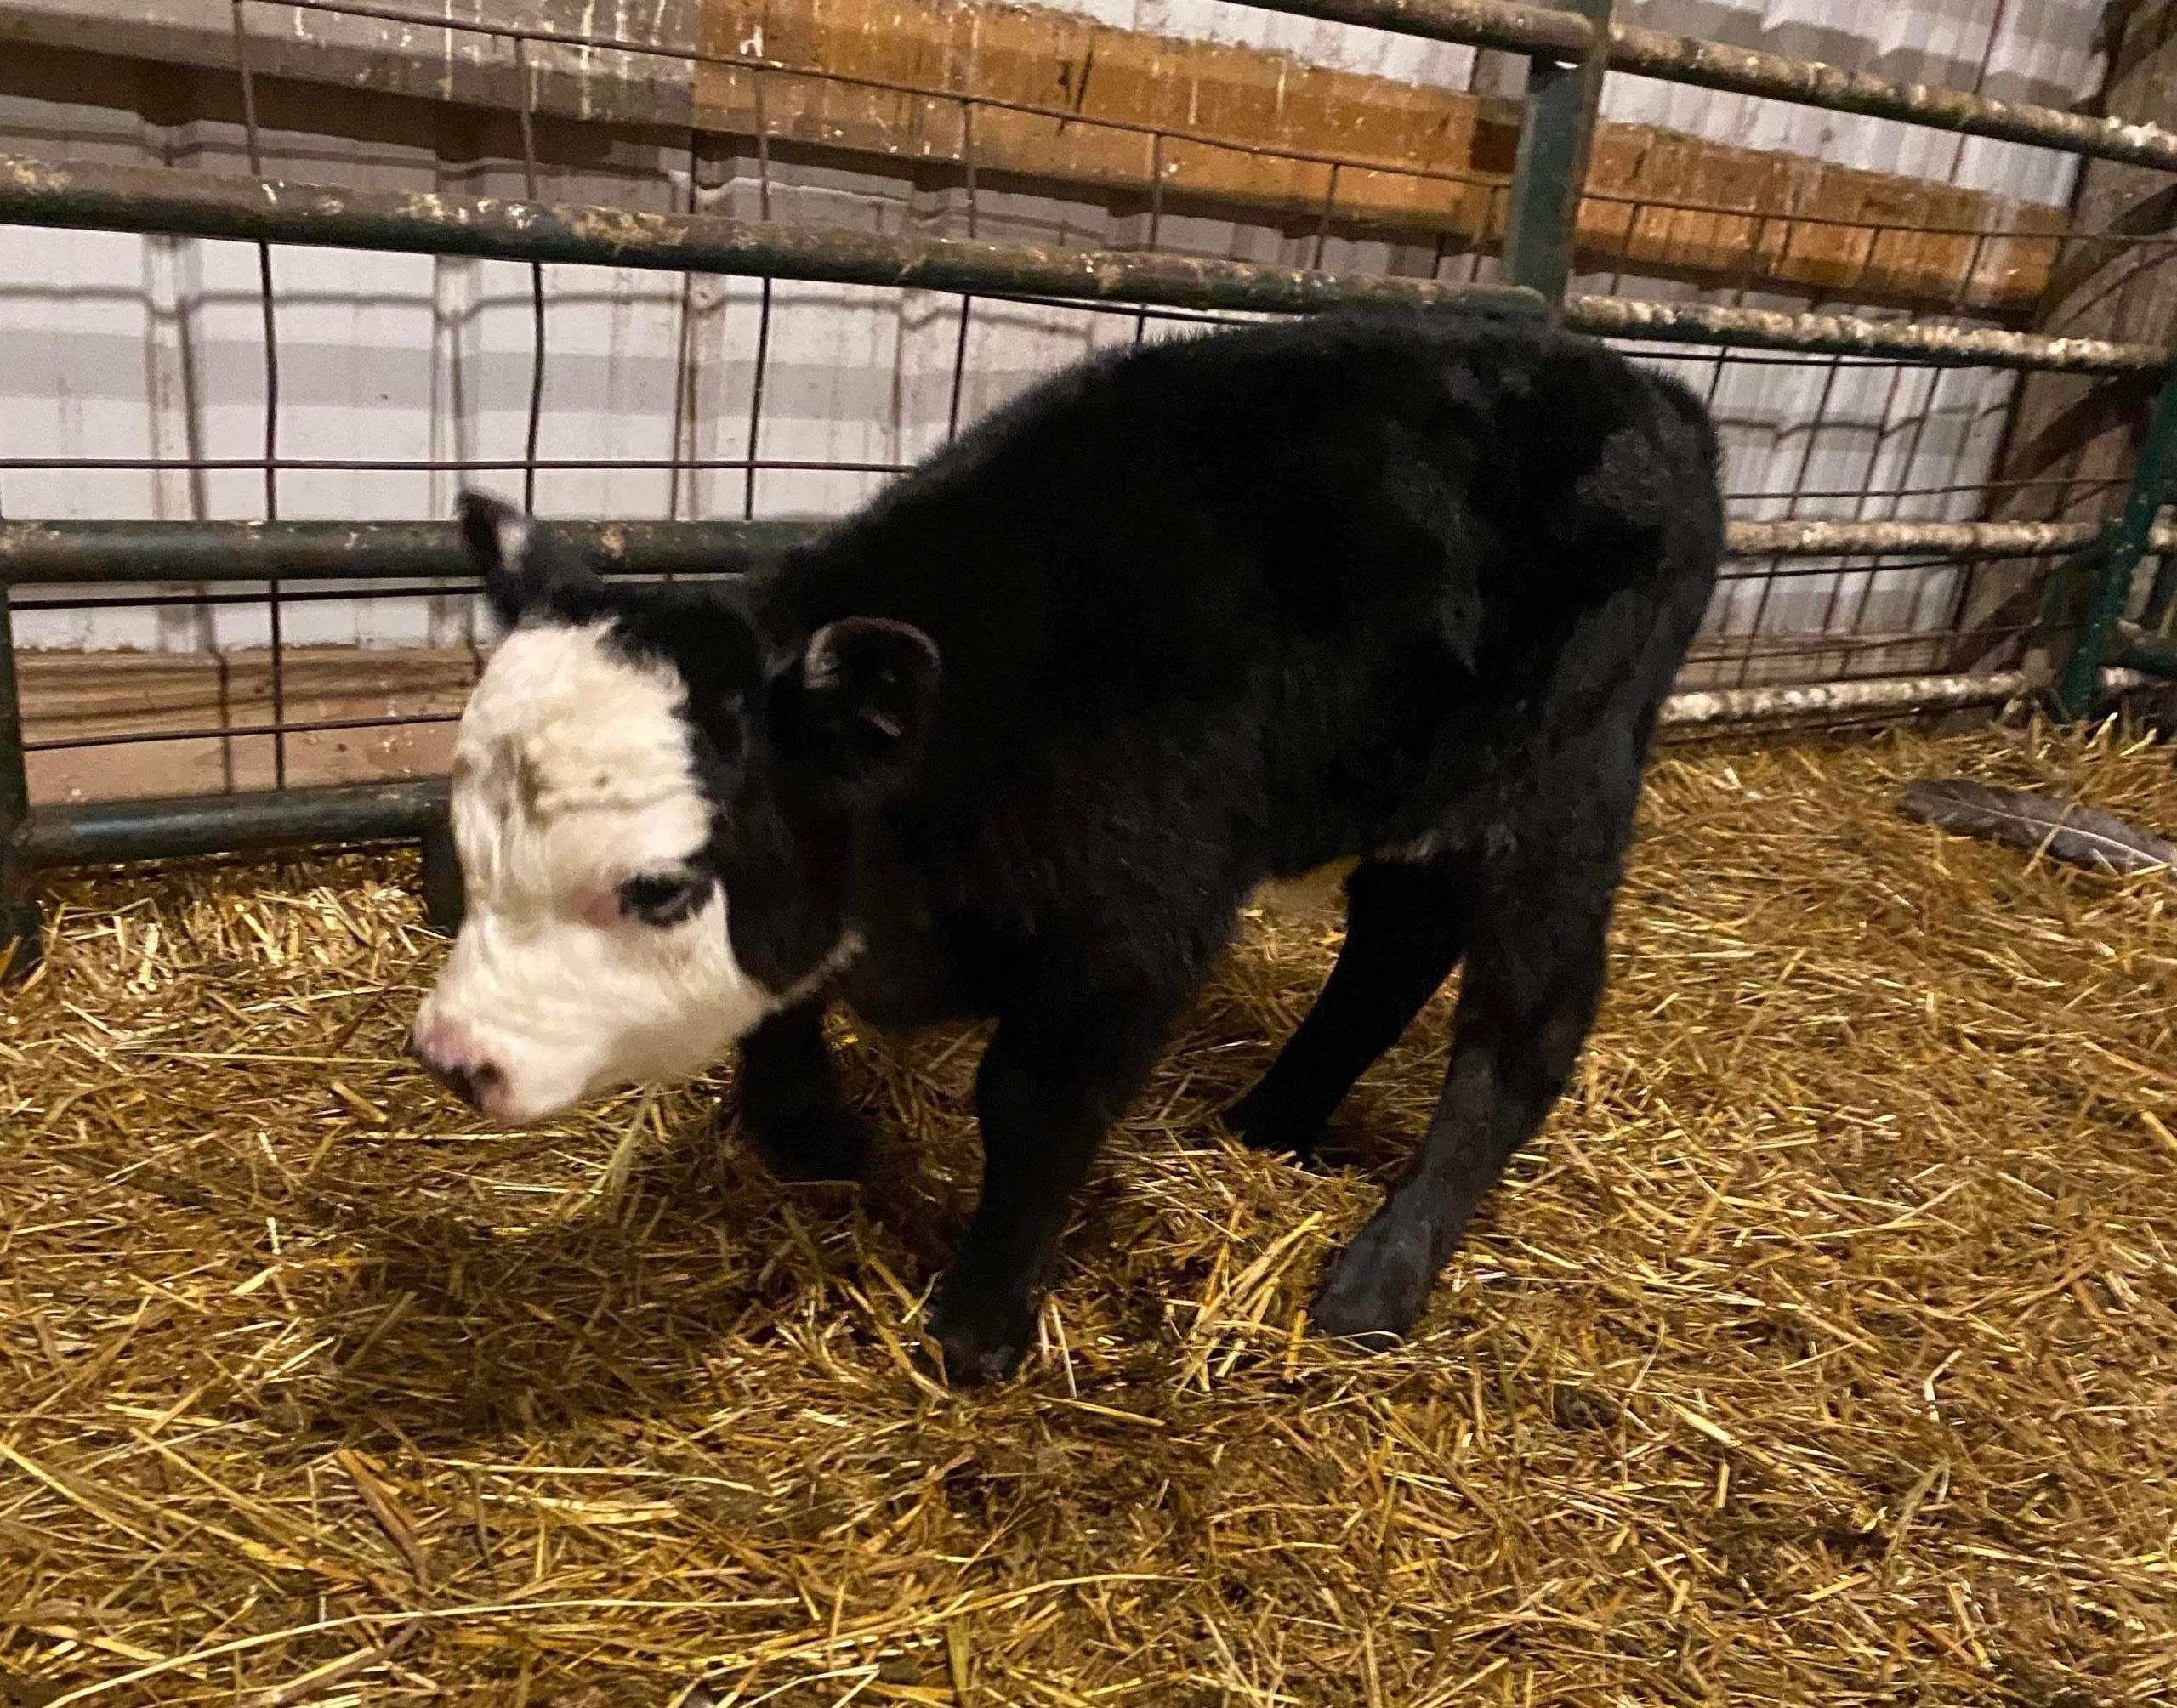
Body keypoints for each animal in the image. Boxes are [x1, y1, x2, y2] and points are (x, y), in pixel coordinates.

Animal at [408, 307, 1723, 1383]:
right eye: (465, 850)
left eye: (661, 887)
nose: (452, 1055)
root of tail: (1649, 389)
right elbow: (785, 1004)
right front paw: (807, 1131)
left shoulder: (1134, 933)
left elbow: (1032, 1107)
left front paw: (978, 1325)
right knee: (1400, 937)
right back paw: (1274, 1116)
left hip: (1568, 777)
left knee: (1523, 1023)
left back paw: (1380, 1276)